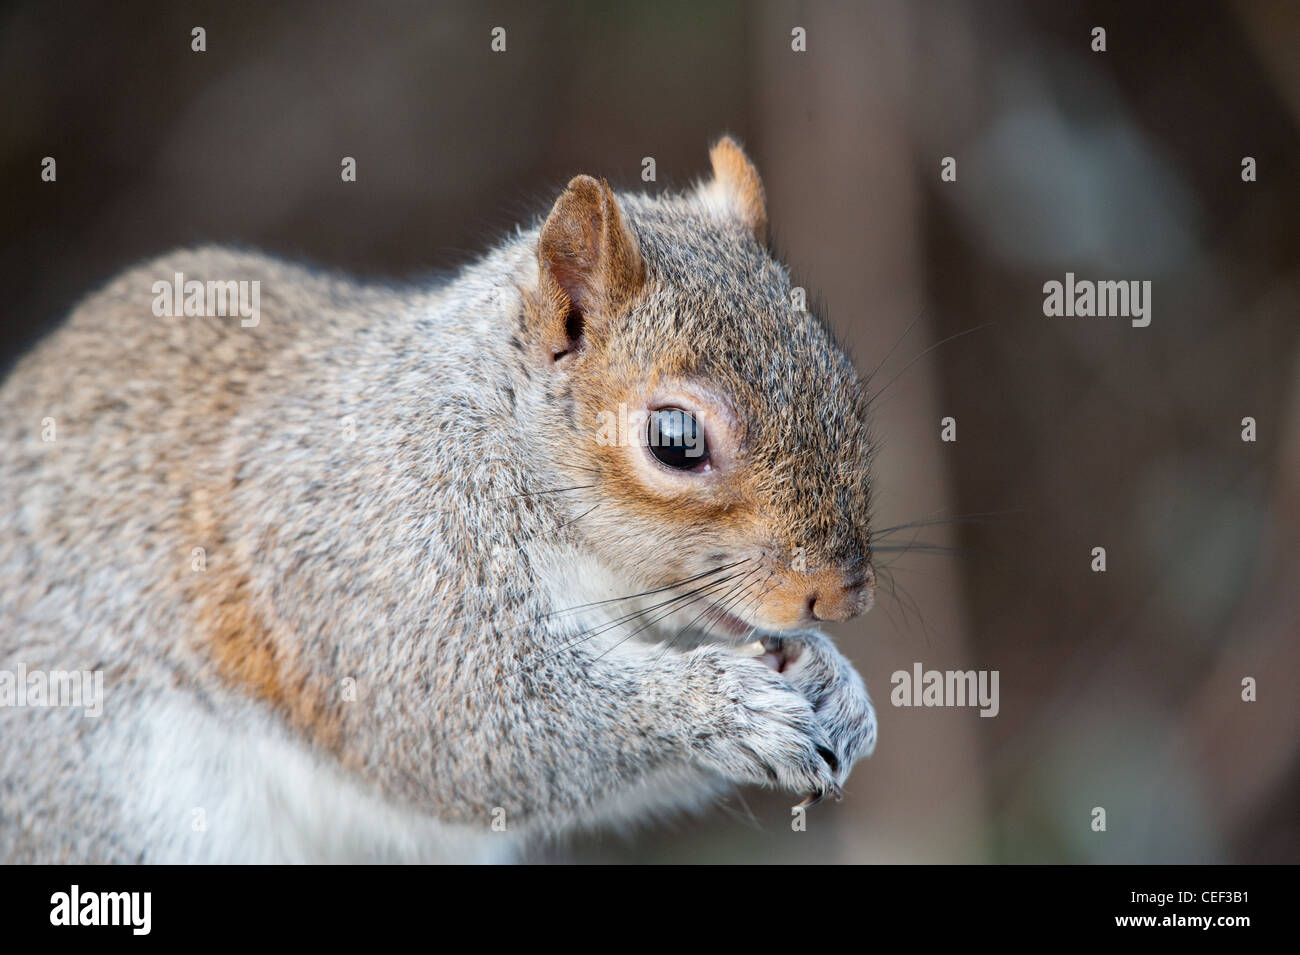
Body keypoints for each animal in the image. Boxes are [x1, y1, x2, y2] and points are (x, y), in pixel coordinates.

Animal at [0, 136, 878, 863]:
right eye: (676, 439)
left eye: (847, 388)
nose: (841, 596)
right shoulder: (380, 561)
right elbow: (470, 728)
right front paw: (720, 705)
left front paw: (838, 686)